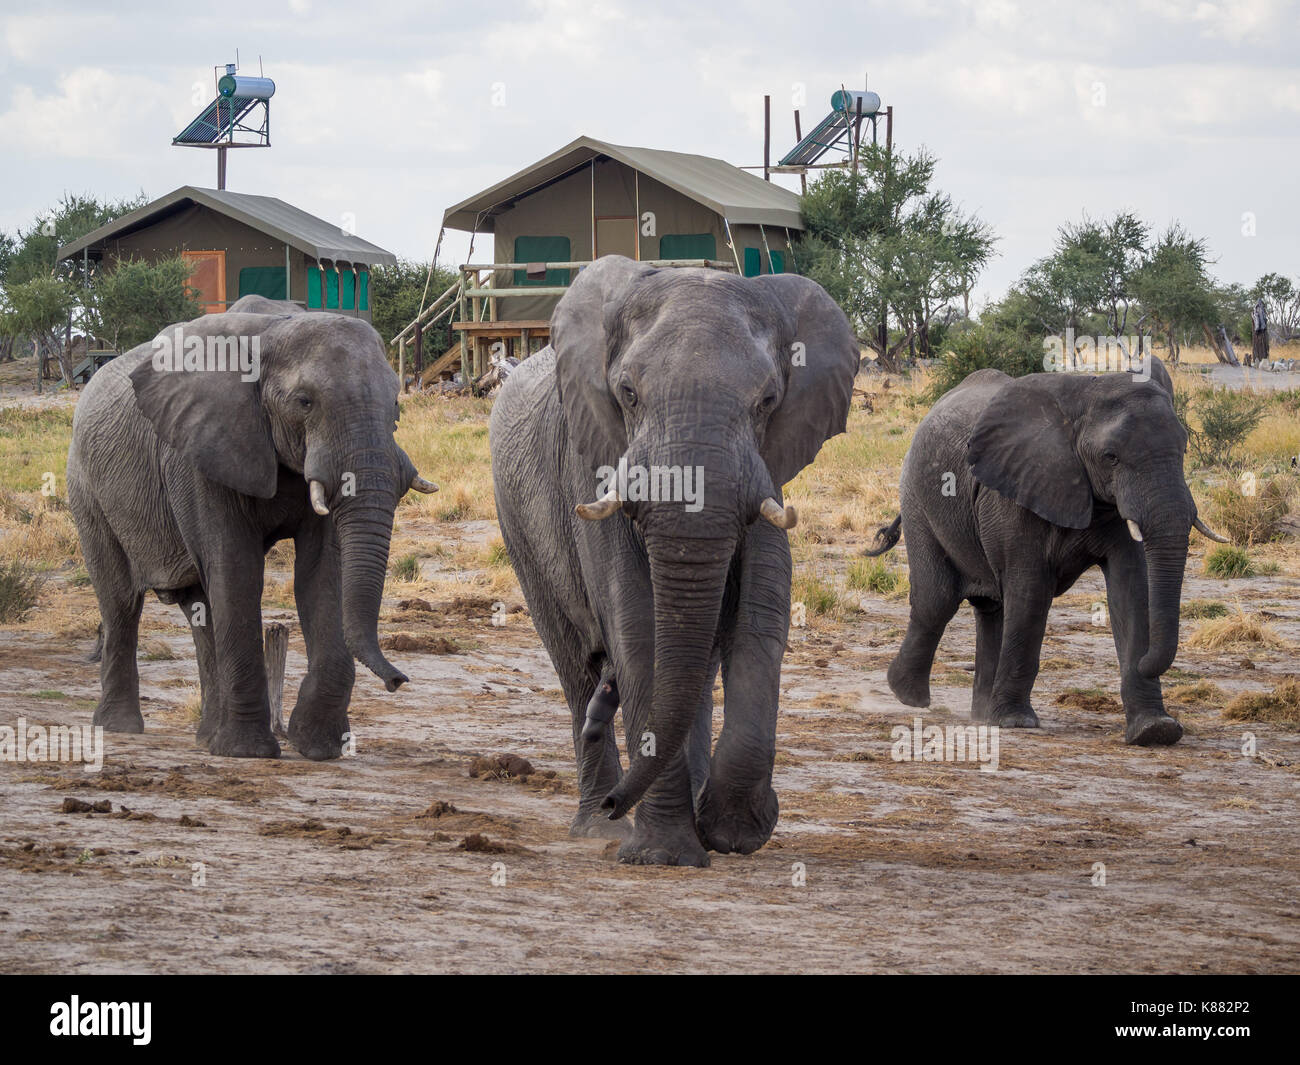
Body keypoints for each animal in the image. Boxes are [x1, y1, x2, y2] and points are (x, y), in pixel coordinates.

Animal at [67, 295, 437, 760]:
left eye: (397, 405)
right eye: (304, 402)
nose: (398, 681)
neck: (274, 329)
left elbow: (322, 573)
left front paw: (318, 748)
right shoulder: (198, 450)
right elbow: (237, 570)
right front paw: (249, 752)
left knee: (200, 609)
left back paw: (207, 737)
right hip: (86, 490)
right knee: (120, 602)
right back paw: (121, 727)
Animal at [490, 255, 859, 866]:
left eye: (767, 402)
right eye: (628, 393)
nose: (616, 803)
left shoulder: (767, 473)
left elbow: (760, 619)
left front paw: (732, 832)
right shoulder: (596, 458)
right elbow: (637, 627)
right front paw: (662, 855)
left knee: (694, 672)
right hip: (517, 524)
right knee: (572, 664)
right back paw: (597, 827)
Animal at [866, 356, 1228, 745]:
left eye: (1184, 448)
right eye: (1110, 457)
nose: (1147, 662)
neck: (1085, 394)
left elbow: (1132, 589)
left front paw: (1155, 730)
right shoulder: (1015, 488)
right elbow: (1031, 589)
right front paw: (1015, 722)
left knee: (991, 608)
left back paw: (981, 714)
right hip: (918, 498)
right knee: (938, 600)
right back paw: (909, 696)